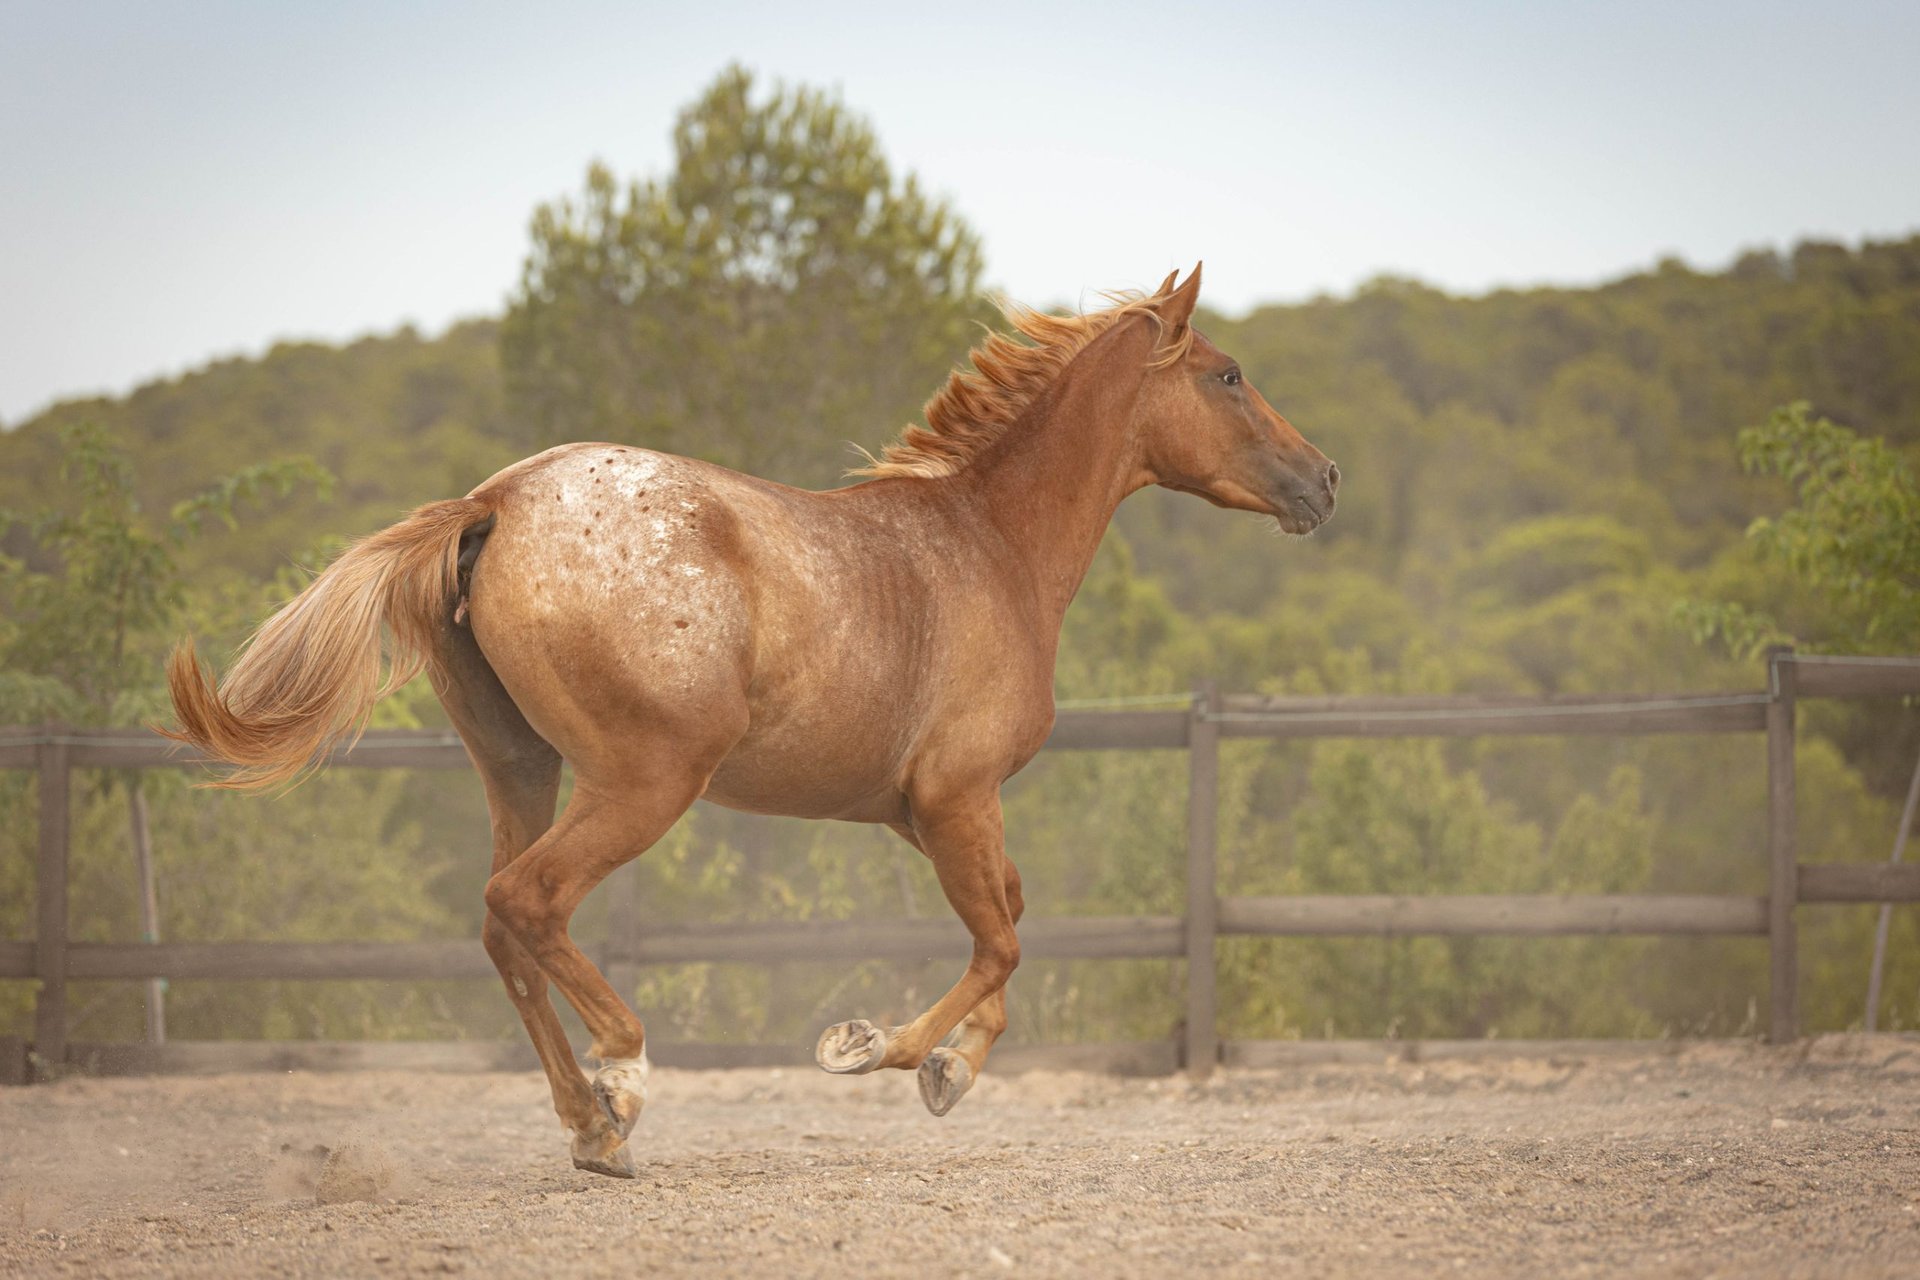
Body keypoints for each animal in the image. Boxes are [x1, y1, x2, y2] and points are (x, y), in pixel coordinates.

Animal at [163, 265, 1338, 1178]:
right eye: (1228, 374)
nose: (1324, 478)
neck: (988, 547)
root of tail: (493, 503)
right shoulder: (955, 796)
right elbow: (999, 939)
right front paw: (872, 1048)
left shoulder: (922, 811)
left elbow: (1009, 920)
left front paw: (947, 1068)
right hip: (645, 781)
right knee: (530, 901)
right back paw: (623, 1083)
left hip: (520, 766)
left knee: (503, 926)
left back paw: (592, 1127)